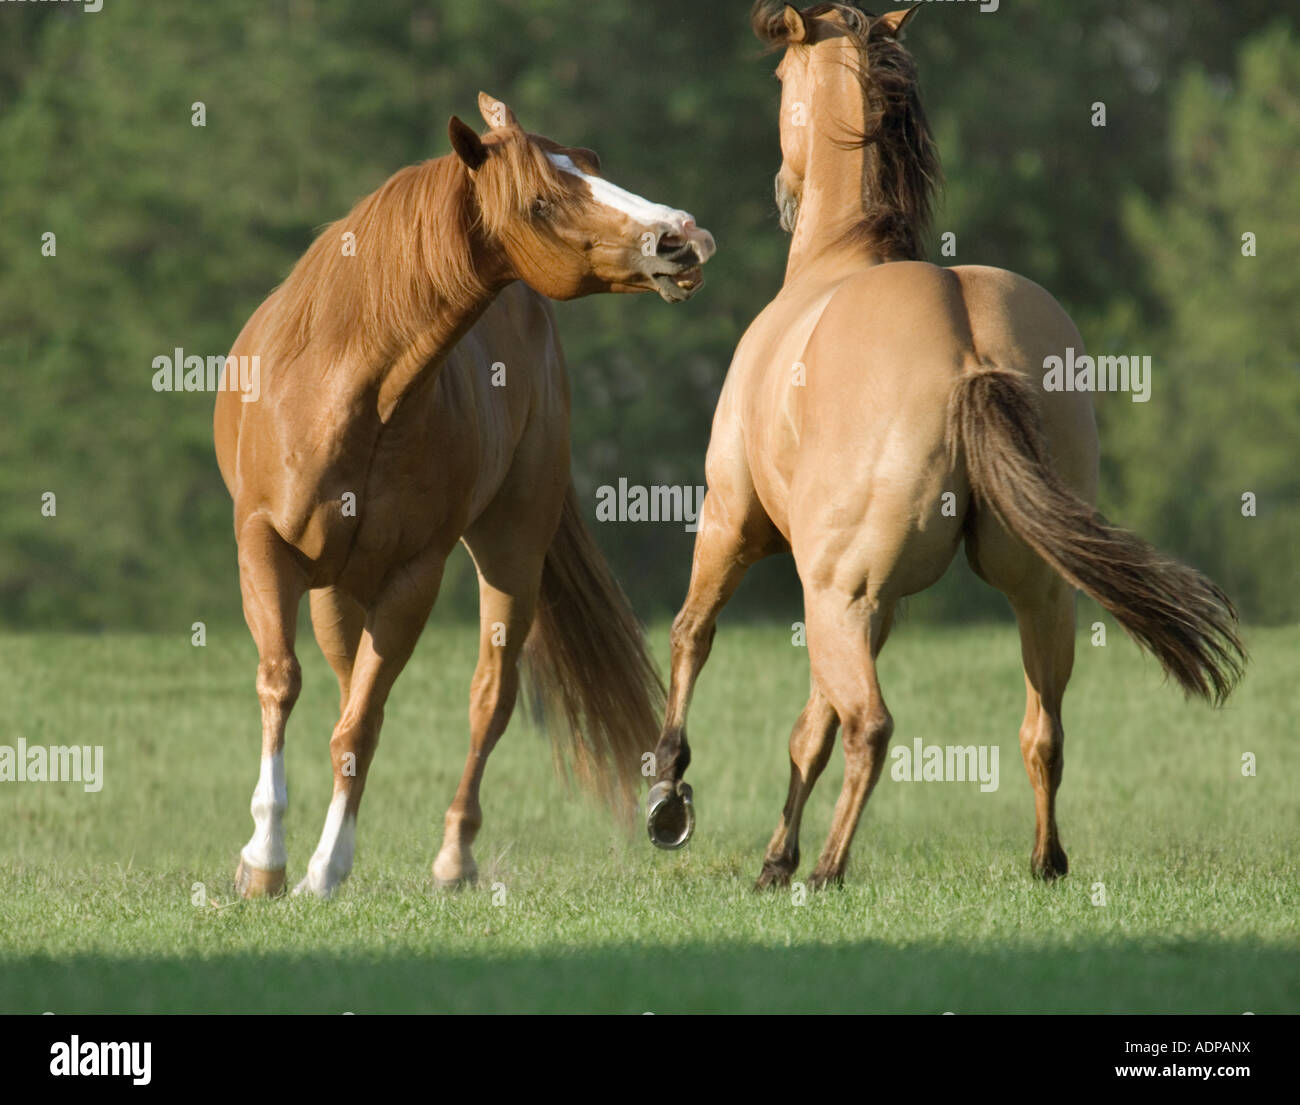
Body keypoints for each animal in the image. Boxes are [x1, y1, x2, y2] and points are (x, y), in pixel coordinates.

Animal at [215, 93, 715, 899]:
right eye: (541, 199)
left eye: (591, 162)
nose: (681, 237)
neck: (349, 386)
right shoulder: (265, 547)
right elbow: (281, 684)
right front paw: (263, 858)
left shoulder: (413, 575)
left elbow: (362, 723)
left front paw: (323, 868)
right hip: (336, 590)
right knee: (347, 681)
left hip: (510, 552)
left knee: (489, 697)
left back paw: (454, 858)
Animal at [644, 3, 1245, 888]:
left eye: (782, 77)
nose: (784, 190)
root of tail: (969, 353)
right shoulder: (881, 600)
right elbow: (807, 729)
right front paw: (772, 857)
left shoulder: (733, 522)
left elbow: (694, 634)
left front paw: (670, 793)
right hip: (1034, 593)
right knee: (1039, 729)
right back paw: (1043, 860)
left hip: (837, 593)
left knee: (872, 725)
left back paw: (829, 869)